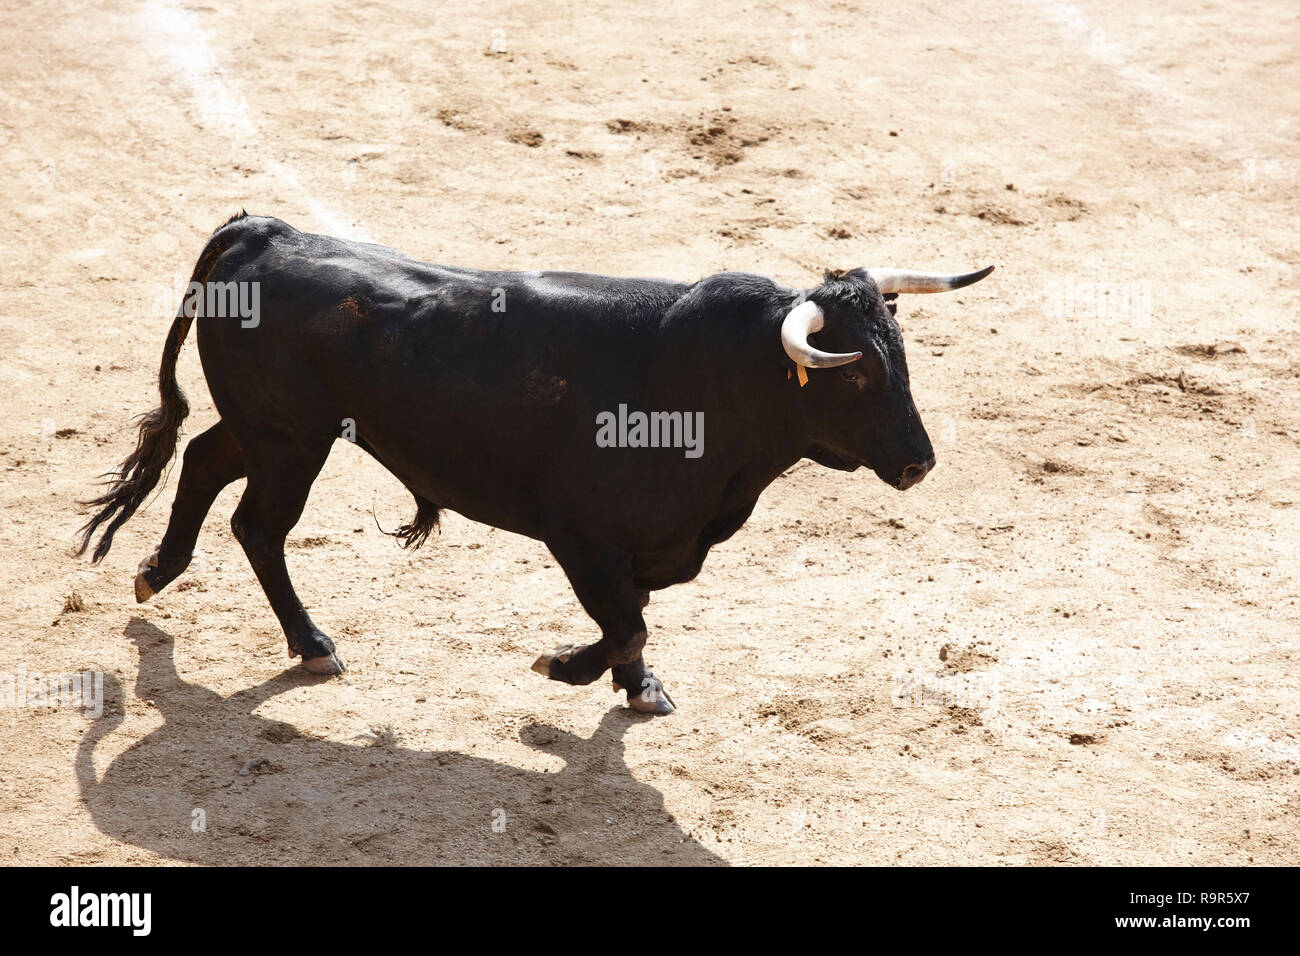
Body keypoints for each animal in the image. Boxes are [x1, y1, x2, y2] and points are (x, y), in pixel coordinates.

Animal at [78, 212, 992, 714]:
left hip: (270, 432)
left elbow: (633, 619)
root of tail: (265, 232)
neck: (717, 386)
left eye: (900, 354)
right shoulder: (580, 536)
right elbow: (627, 623)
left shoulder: (645, 549)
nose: (920, 464)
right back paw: (311, 644)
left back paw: (157, 572)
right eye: (857, 372)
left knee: (203, 462)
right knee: (259, 526)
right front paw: (565, 667)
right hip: (291, 443)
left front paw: (638, 689)